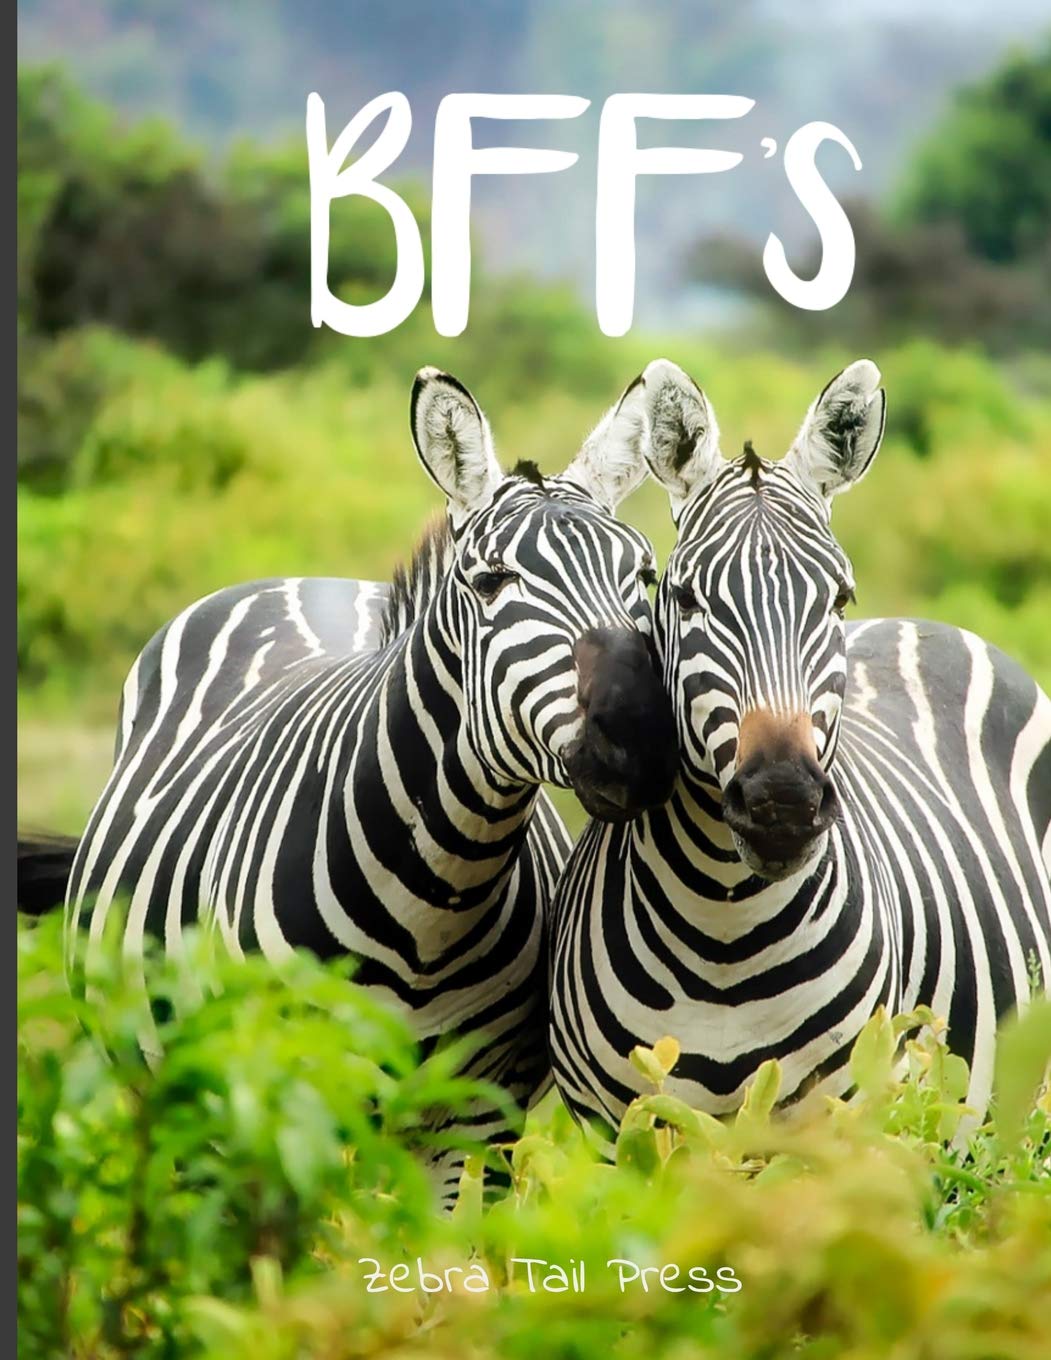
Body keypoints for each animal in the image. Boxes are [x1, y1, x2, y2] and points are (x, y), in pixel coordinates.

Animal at [42, 366, 679, 1197]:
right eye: (491, 581)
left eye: (644, 575)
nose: (640, 741)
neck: (434, 899)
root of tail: (304, 578)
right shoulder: (278, 1098)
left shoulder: (476, 1114)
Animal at [550, 357, 1051, 1145]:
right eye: (684, 598)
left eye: (838, 600)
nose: (781, 801)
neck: (722, 931)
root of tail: (929, 623)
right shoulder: (619, 1133)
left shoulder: (838, 1129)